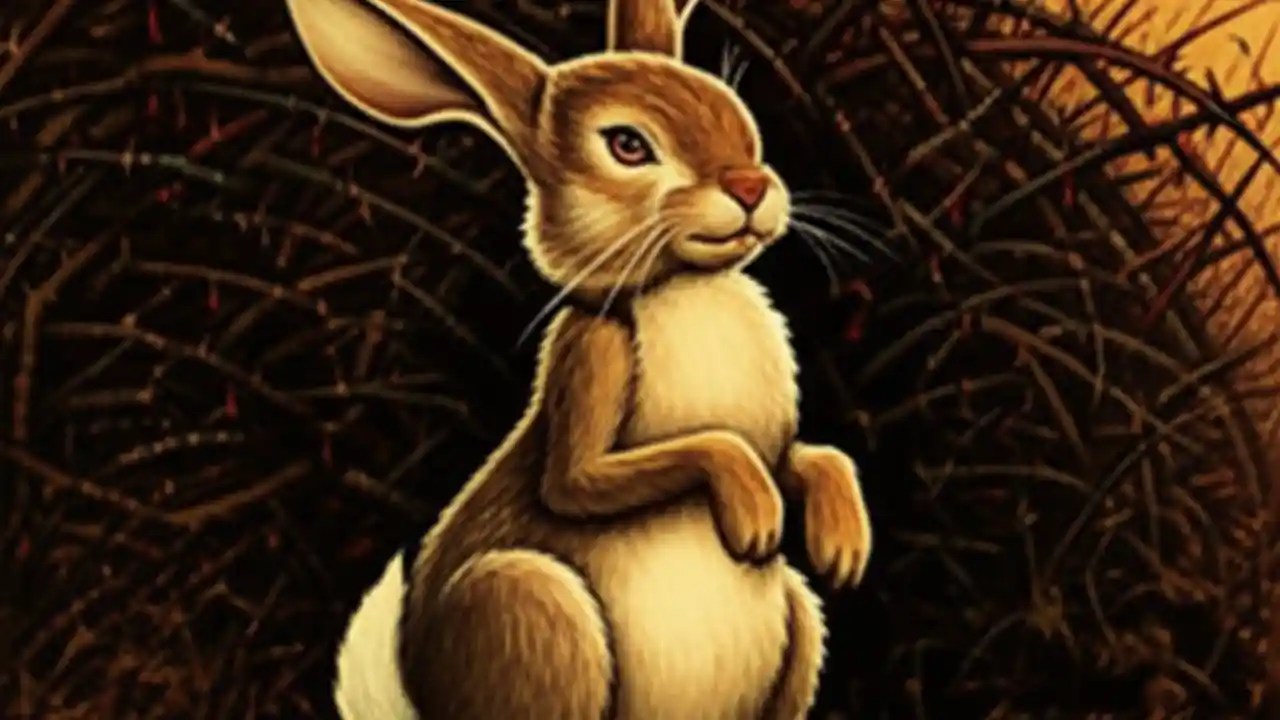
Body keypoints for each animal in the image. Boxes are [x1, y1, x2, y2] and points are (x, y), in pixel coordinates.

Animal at [285, 0, 874, 717]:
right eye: (628, 145)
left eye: (734, 111)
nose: (750, 186)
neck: (678, 286)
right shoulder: (591, 362)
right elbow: (608, 475)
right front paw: (756, 521)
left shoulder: (780, 445)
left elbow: (816, 457)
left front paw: (843, 548)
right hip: (538, 606)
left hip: (800, 623)